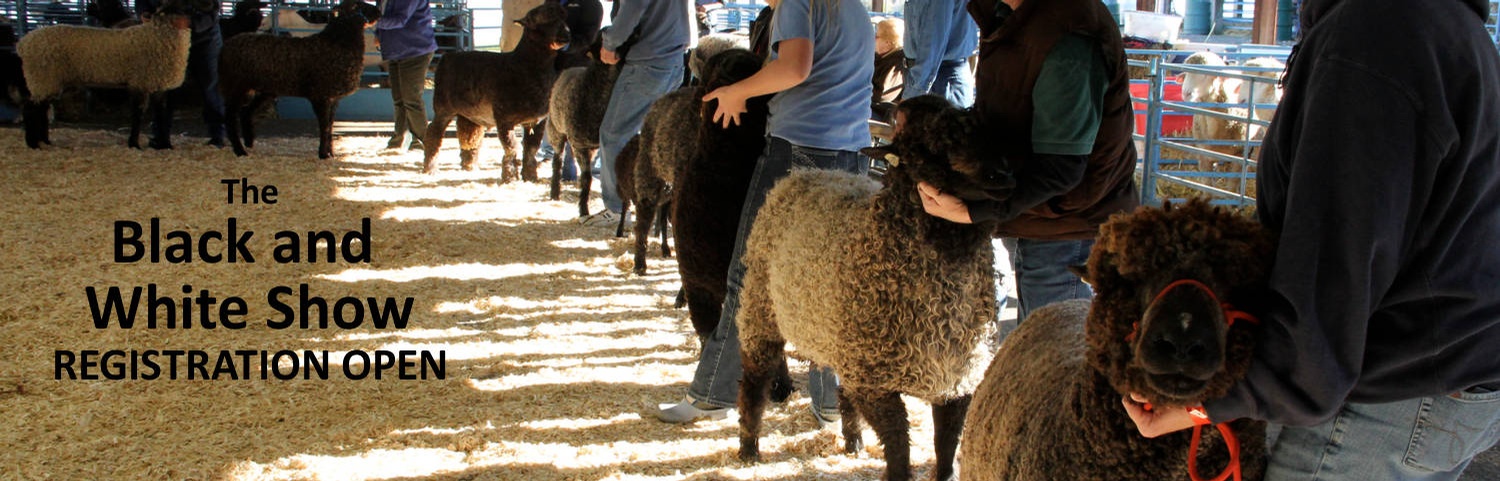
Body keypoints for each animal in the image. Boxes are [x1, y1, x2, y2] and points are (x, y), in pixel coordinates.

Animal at [16, 0, 194, 149]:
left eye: (180, 10)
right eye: (162, 13)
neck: (158, 35)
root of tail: (23, 43)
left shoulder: (158, 85)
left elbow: (161, 114)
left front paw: (164, 145)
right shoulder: (139, 82)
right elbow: (137, 115)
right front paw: (134, 144)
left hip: (49, 81)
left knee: (41, 110)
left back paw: (45, 141)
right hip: (42, 77)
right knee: (30, 108)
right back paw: (33, 143)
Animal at [219, 0, 380, 159]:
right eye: (356, 6)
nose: (378, 11)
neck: (337, 42)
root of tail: (227, 45)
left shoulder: (334, 98)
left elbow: (330, 125)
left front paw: (331, 153)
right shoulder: (319, 96)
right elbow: (324, 125)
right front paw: (323, 154)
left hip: (263, 89)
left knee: (245, 112)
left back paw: (249, 142)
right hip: (235, 86)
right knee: (229, 118)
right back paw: (239, 150)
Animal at [422, 1, 570, 180]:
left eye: (563, 17)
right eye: (542, 20)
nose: (566, 35)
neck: (524, 65)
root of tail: (447, 57)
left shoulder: (538, 120)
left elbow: (531, 148)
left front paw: (530, 176)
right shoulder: (504, 118)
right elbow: (512, 146)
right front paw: (510, 176)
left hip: (471, 113)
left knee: (471, 136)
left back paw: (470, 166)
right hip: (443, 107)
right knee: (433, 134)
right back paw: (430, 168)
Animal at [736, 95, 1016, 481]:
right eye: (928, 149)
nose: (1003, 175)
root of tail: (804, 175)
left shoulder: (957, 382)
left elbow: (946, 449)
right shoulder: (876, 385)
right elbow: (898, 450)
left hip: (839, 338)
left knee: (840, 389)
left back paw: (852, 442)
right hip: (760, 305)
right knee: (754, 378)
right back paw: (748, 448)